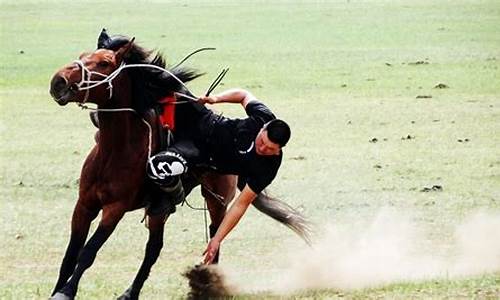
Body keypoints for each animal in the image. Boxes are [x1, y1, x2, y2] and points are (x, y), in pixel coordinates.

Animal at [48, 31, 310, 300]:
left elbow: (88, 251)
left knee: (214, 237)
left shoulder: (114, 209)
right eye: (82, 56)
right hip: (159, 211)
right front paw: (58, 288)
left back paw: (207, 285)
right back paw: (132, 292)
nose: (58, 82)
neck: (114, 152)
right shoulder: (84, 205)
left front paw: (65, 292)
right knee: (155, 247)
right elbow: (70, 254)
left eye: (104, 63)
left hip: (216, 200)